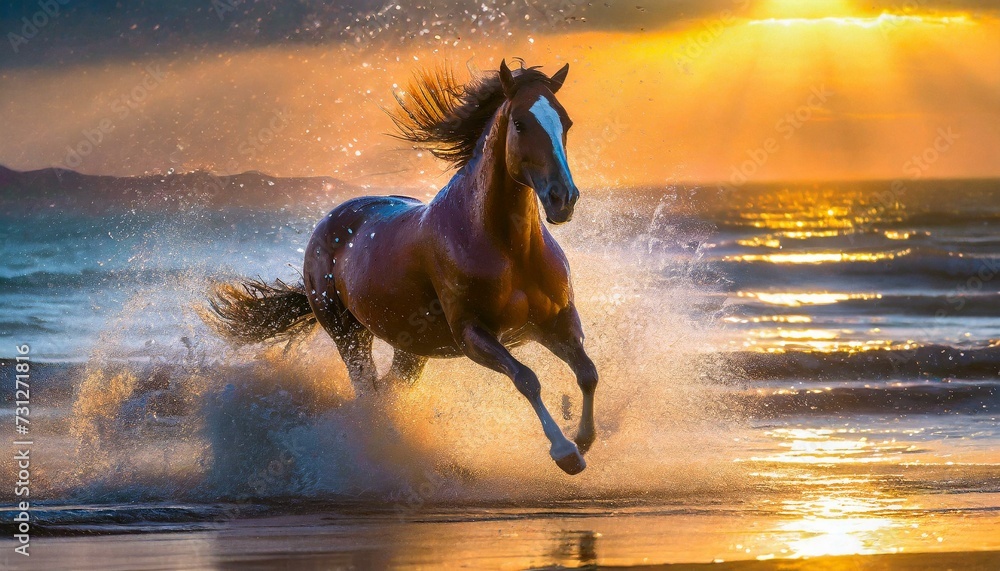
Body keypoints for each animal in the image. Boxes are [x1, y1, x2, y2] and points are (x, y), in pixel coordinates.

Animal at [207, 60, 598, 475]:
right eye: (521, 124)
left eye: (566, 122)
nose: (562, 199)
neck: (510, 250)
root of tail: (328, 224)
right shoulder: (473, 334)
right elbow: (526, 379)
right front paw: (565, 452)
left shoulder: (555, 322)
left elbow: (588, 374)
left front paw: (583, 440)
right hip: (347, 334)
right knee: (367, 390)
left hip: (412, 350)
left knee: (388, 389)